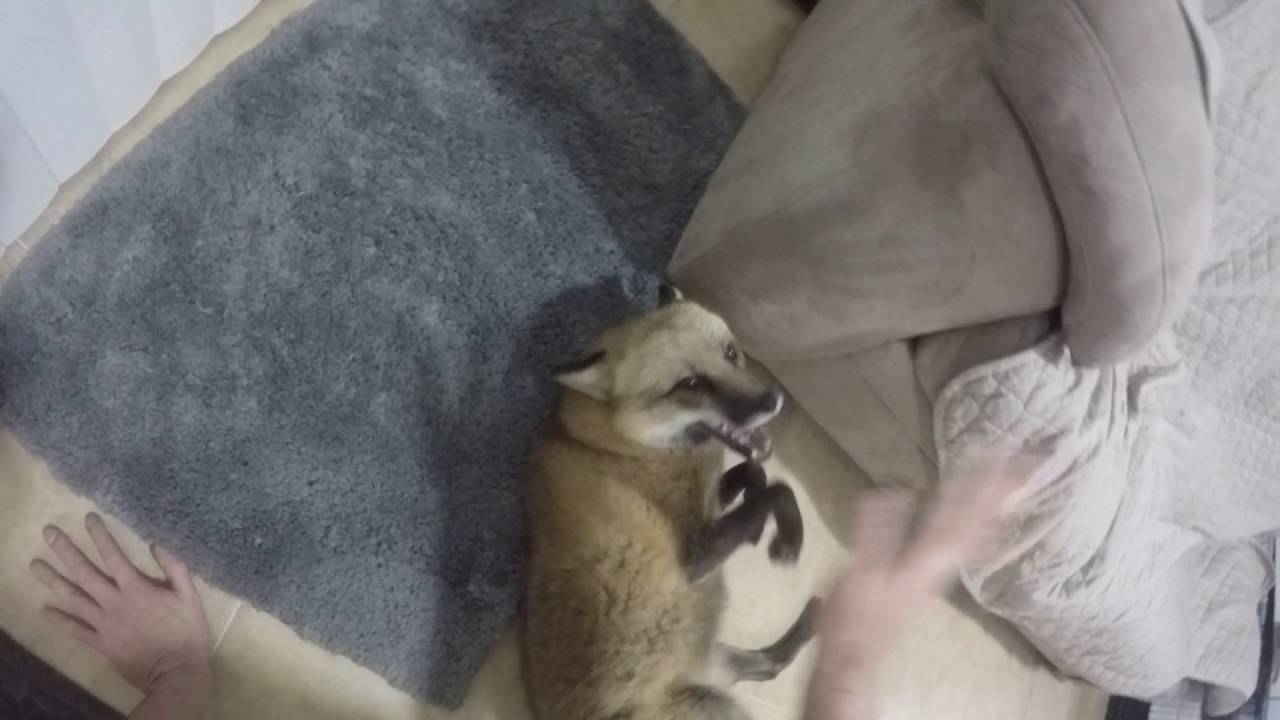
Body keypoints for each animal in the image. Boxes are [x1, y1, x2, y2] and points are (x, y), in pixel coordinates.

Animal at [520, 283, 821, 720]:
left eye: (731, 352)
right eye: (691, 384)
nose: (771, 400)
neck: (620, 447)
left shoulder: (710, 503)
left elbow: (757, 476)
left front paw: (767, 526)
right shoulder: (695, 555)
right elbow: (775, 489)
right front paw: (787, 540)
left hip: (718, 662)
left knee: (771, 665)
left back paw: (815, 618)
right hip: (717, 702)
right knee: (768, 668)